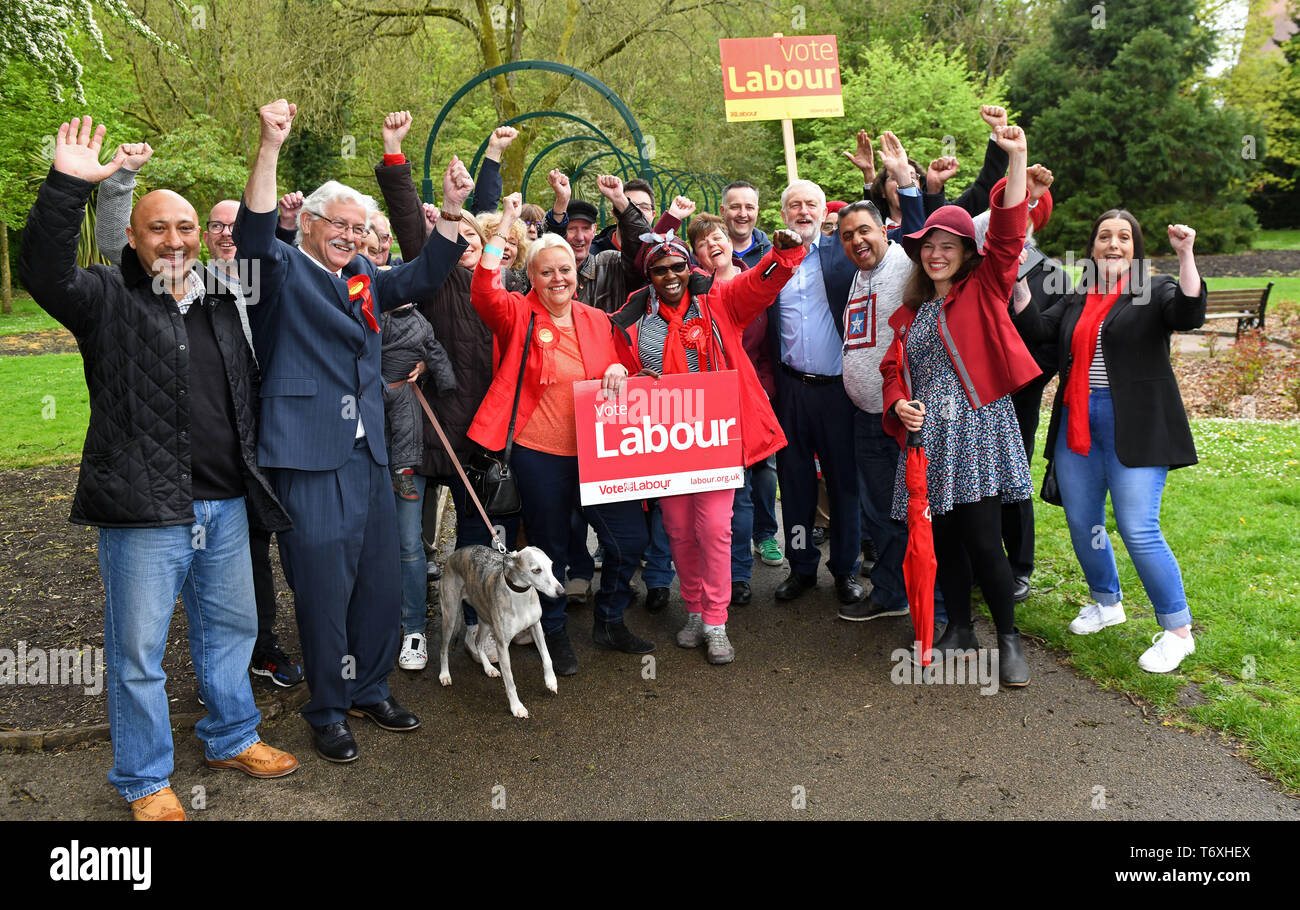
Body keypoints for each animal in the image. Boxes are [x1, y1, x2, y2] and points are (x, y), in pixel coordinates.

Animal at [439, 548, 561, 717]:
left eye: (551, 566)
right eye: (536, 570)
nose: (561, 592)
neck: (520, 595)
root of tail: (453, 555)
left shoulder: (536, 626)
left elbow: (547, 657)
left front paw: (551, 681)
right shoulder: (502, 646)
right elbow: (509, 681)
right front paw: (517, 707)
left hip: (485, 620)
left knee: (478, 642)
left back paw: (488, 668)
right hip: (450, 616)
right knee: (443, 649)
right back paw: (444, 675)